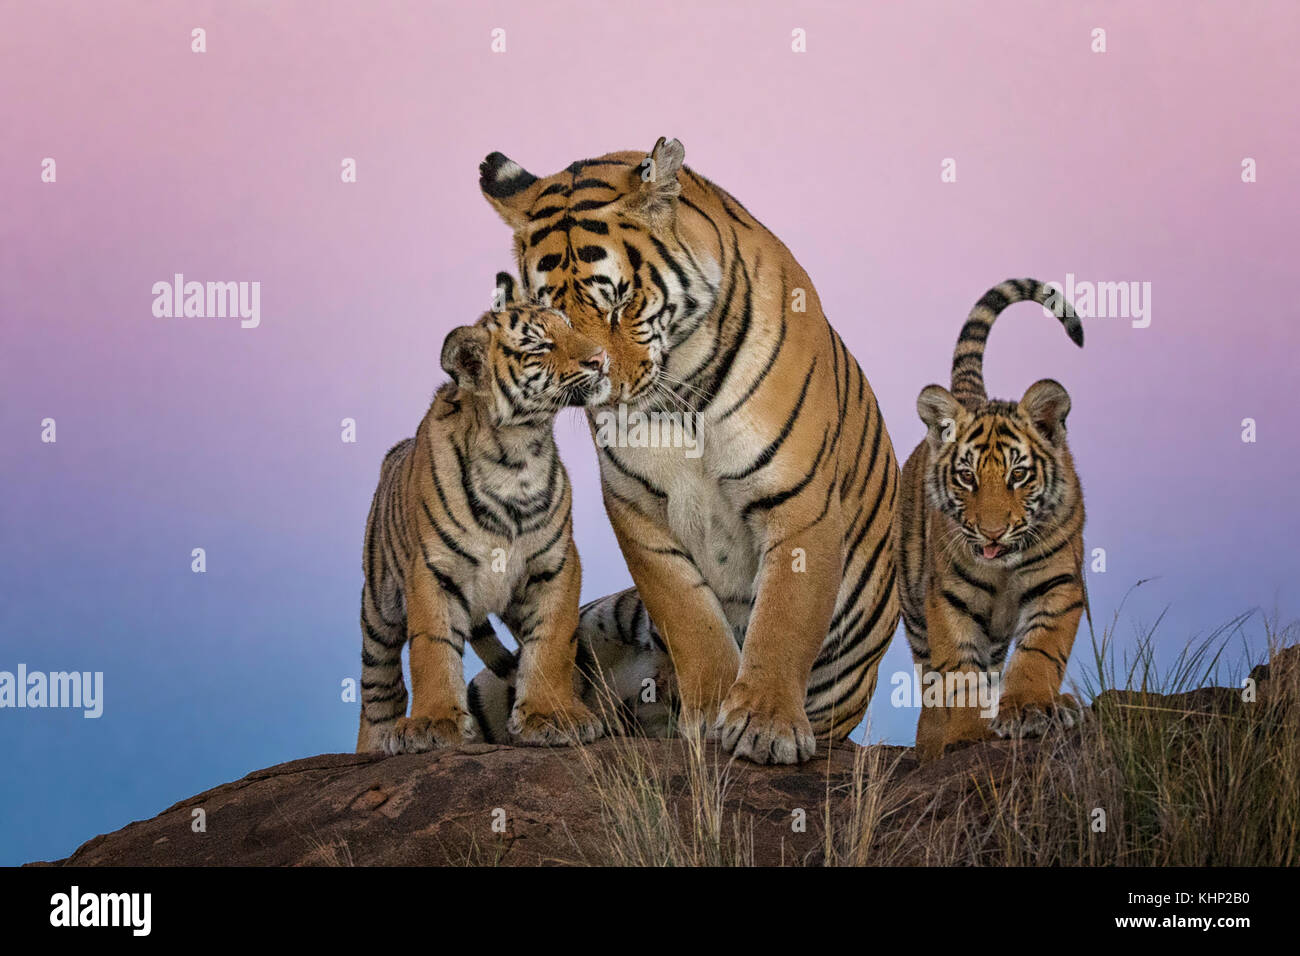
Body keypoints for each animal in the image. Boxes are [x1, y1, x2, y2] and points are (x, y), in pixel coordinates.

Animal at [355, 274, 611, 755]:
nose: (602, 357)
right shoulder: (432, 570)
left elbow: (551, 642)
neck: (517, 453)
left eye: (569, 326)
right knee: (379, 688)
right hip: (378, 608)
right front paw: (433, 723)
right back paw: (374, 745)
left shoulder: (556, 564)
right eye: (542, 345)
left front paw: (552, 715)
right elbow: (433, 648)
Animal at [897, 278, 1087, 762]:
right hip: (913, 604)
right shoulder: (948, 598)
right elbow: (957, 672)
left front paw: (1028, 709)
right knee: (930, 677)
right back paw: (930, 740)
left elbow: (1041, 650)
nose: (992, 532)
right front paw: (965, 735)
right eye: (967, 477)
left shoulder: (1059, 583)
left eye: (1018, 475)